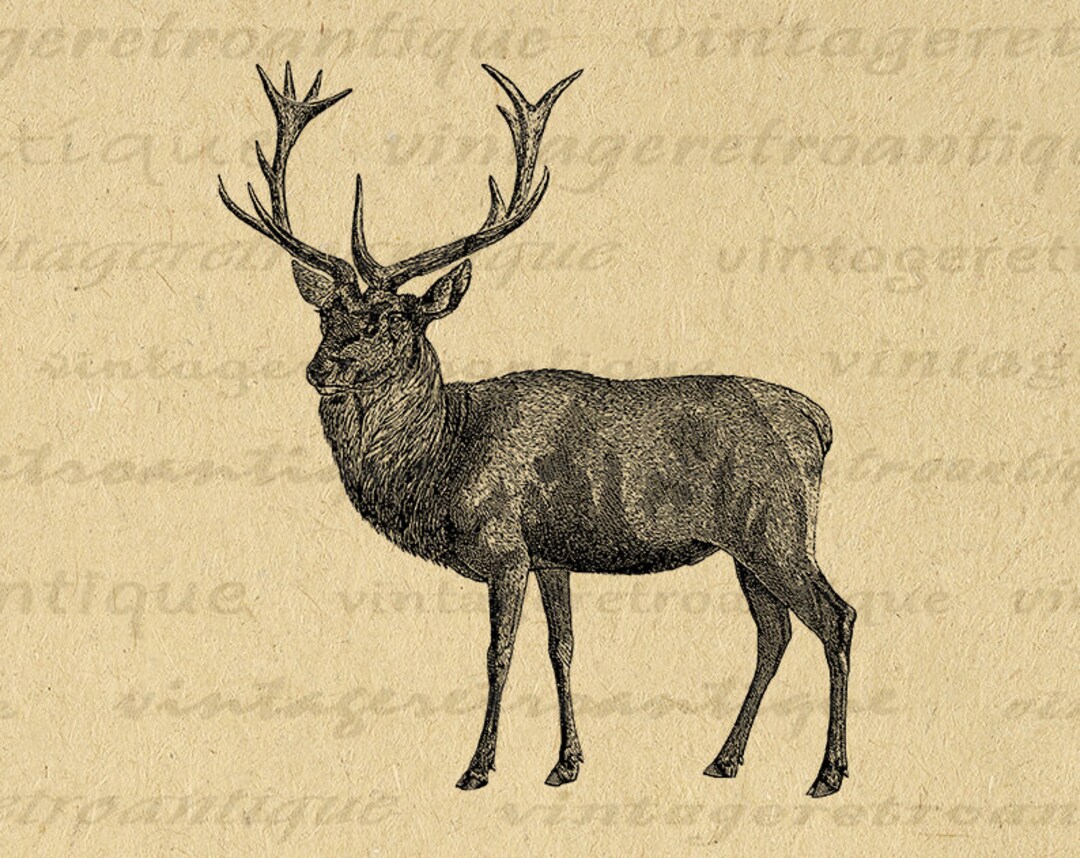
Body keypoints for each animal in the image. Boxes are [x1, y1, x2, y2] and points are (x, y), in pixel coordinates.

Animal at [217, 63, 857, 797]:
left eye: (395, 321)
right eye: (327, 316)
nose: (320, 367)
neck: (442, 458)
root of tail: (820, 423)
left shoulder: (507, 547)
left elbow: (499, 655)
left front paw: (478, 767)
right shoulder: (553, 554)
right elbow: (563, 649)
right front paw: (567, 762)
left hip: (777, 529)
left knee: (836, 617)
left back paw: (829, 772)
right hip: (748, 548)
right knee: (775, 634)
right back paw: (725, 758)